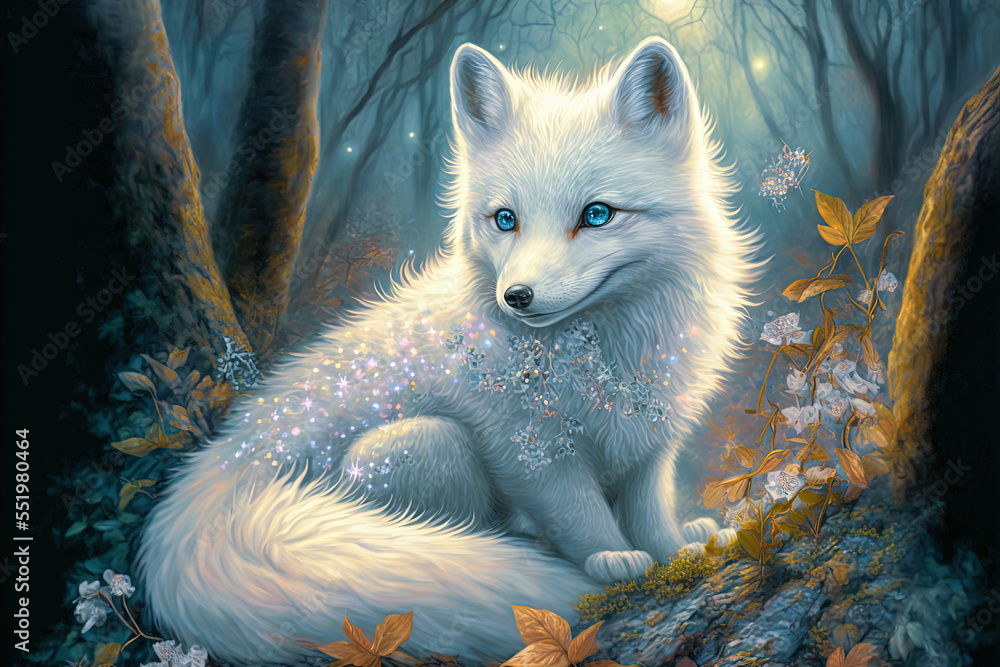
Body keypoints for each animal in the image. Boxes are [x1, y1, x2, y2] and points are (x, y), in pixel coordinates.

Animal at [139, 37, 758, 665]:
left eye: (597, 214)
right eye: (505, 219)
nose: (516, 297)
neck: (605, 360)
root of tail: (228, 461)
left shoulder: (649, 441)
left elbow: (651, 509)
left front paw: (676, 550)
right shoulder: (526, 450)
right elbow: (581, 513)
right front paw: (612, 559)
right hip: (430, 444)